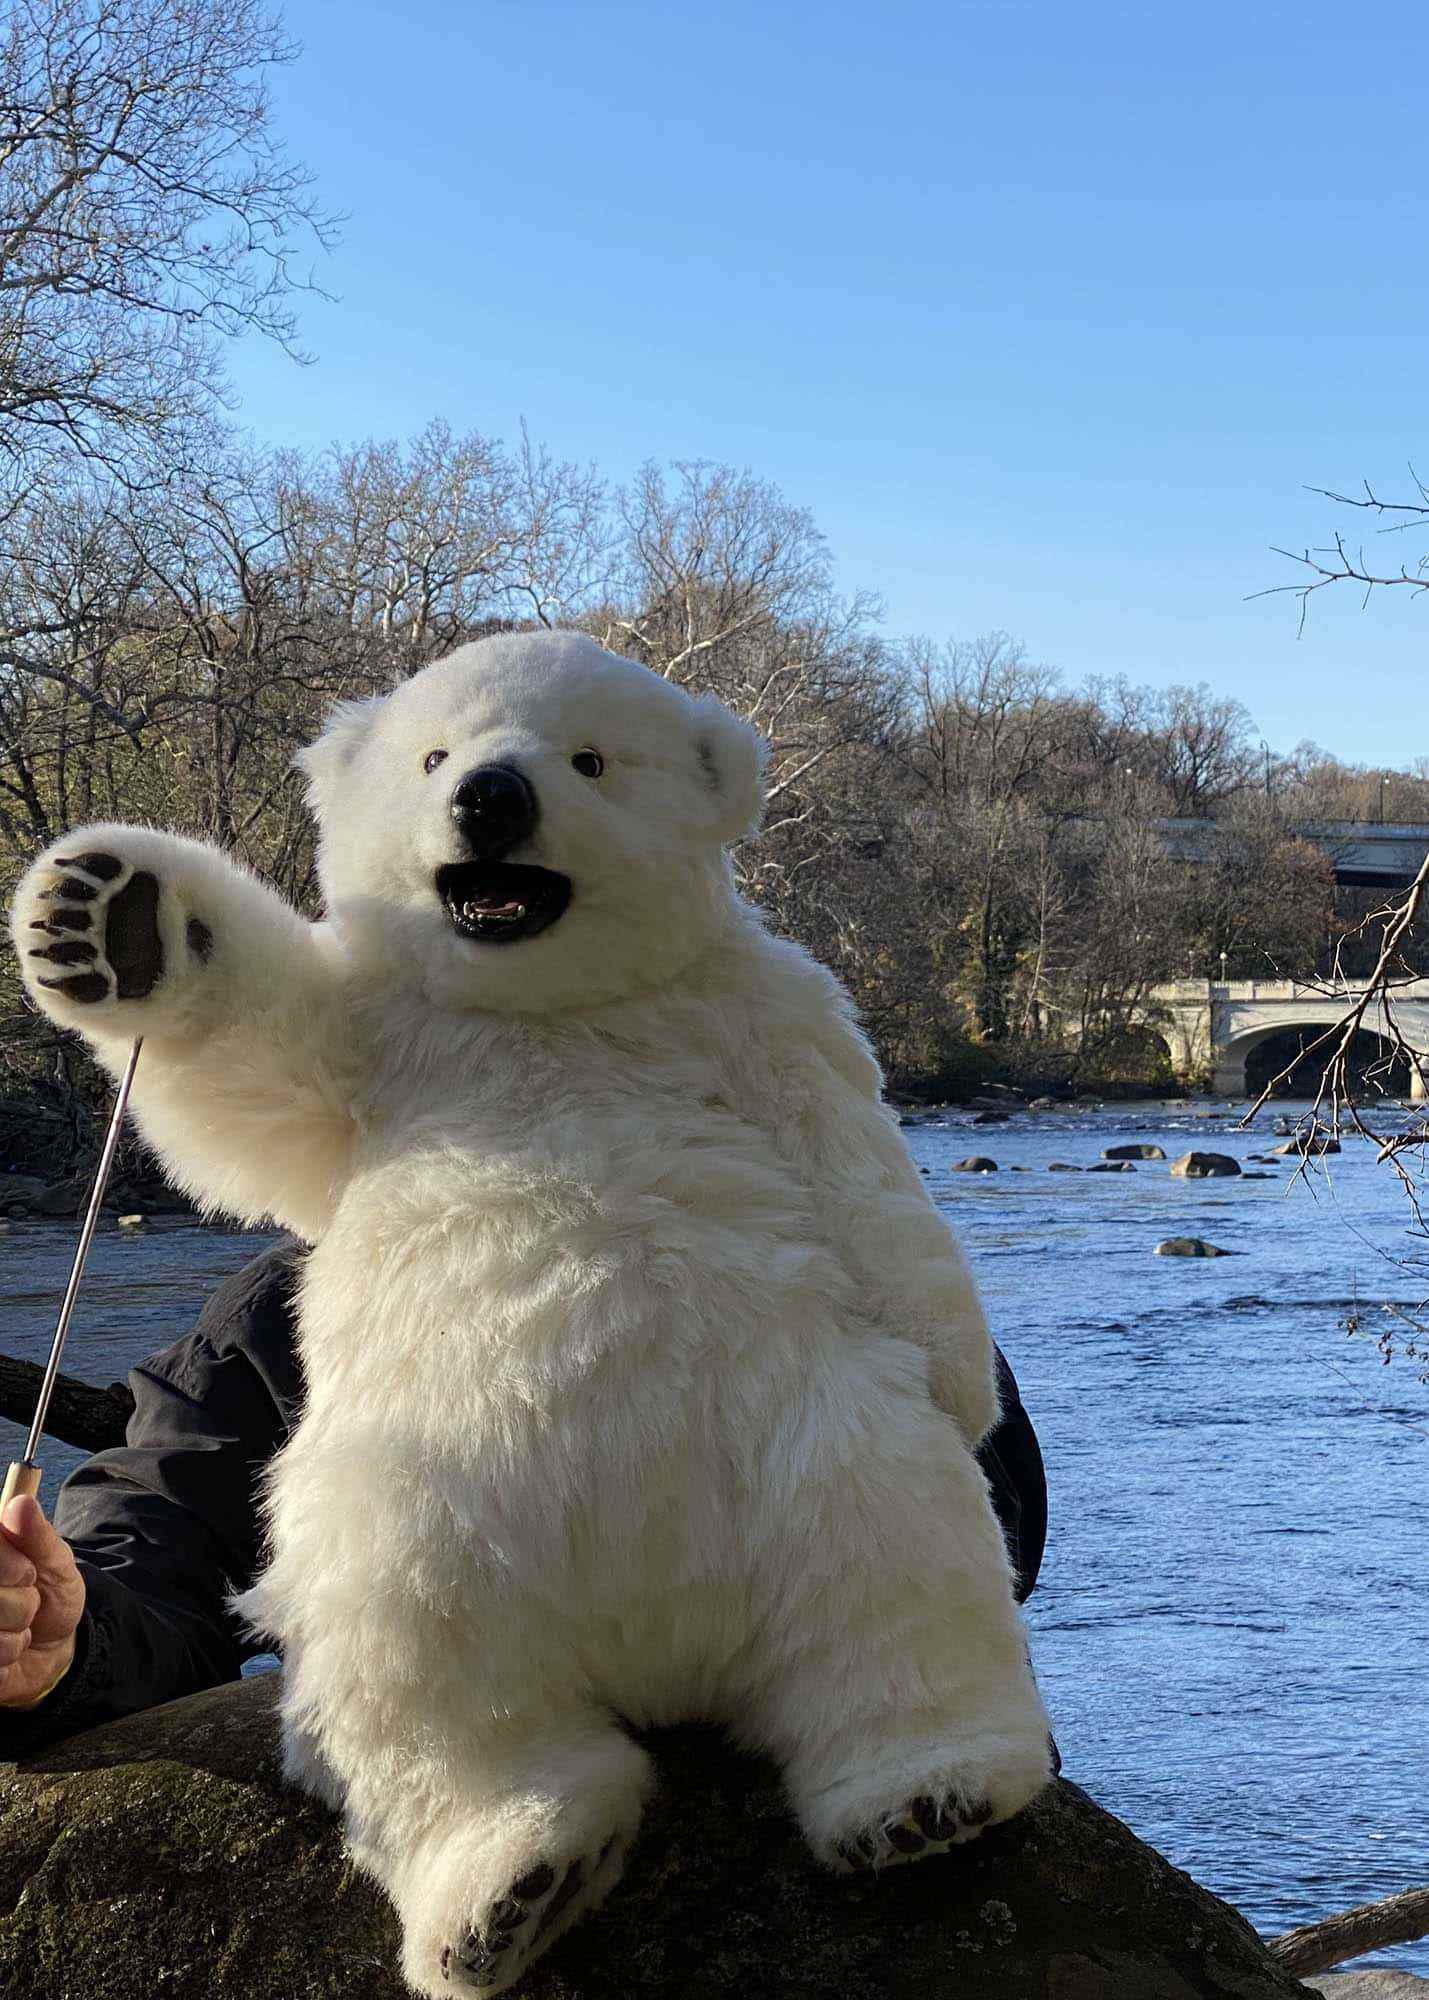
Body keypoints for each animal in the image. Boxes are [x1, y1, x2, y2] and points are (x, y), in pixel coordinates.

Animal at [13, 630, 1052, 1997]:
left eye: (590, 757)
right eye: (435, 753)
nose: (491, 797)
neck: (543, 1010)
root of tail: (659, 1648)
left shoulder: (758, 1006)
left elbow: (852, 1157)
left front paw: (964, 1375)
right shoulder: (384, 1037)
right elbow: (257, 1075)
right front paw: (115, 916)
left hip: (796, 1435)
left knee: (883, 1539)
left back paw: (926, 1792)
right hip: (429, 1499)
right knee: (411, 1654)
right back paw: (513, 1878)